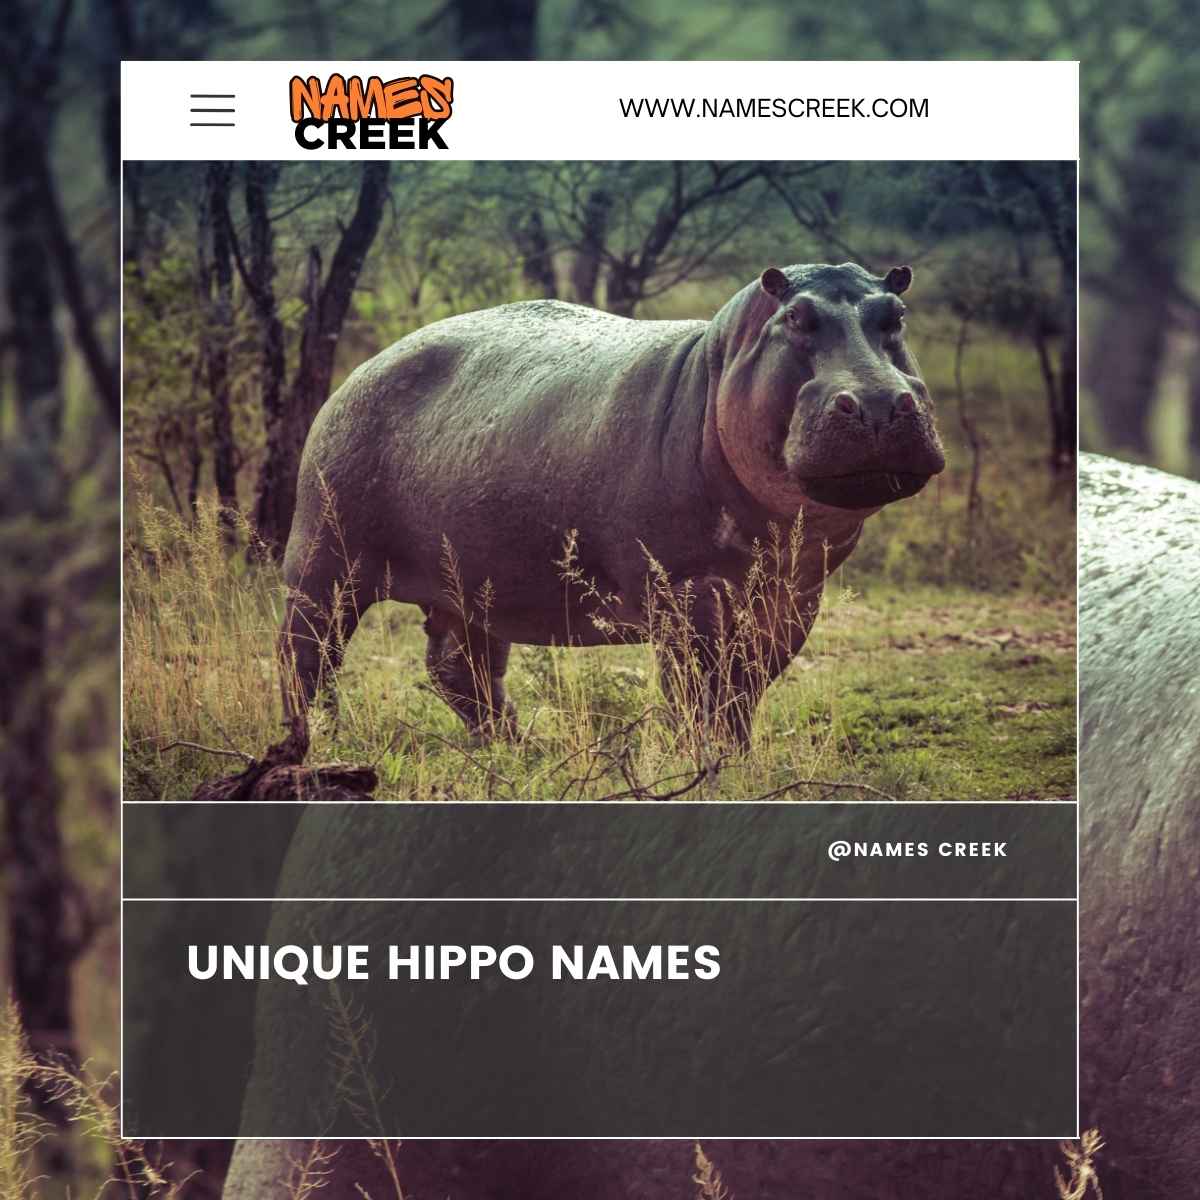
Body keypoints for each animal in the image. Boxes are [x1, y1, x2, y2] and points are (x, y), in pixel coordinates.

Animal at [280, 262, 944, 745]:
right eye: (797, 317)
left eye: (897, 316)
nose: (879, 402)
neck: (718, 366)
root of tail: (365, 365)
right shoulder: (687, 593)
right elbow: (697, 695)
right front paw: (702, 765)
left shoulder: (793, 596)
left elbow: (742, 695)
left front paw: (735, 759)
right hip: (324, 560)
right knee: (306, 657)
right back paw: (316, 744)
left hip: (469, 584)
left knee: (460, 669)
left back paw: (517, 749)